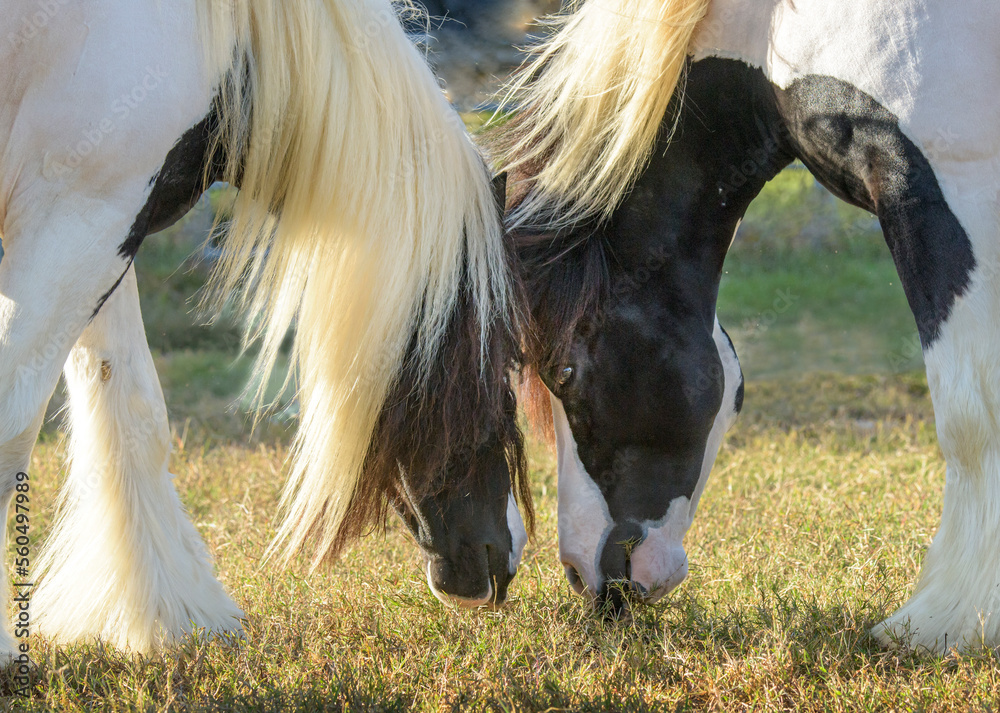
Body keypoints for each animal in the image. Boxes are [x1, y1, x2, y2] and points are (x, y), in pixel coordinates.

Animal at [0, 0, 531, 656]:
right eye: (503, 359)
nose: (506, 559)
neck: (227, 42)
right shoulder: (77, 211)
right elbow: (15, 422)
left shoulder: (106, 222)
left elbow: (132, 406)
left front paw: (167, 614)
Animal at [490, 0, 1000, 653]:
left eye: (564, 373)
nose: (584, 576)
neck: (777, 22)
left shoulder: (951, 183)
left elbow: (970, 417)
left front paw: (944, 621)